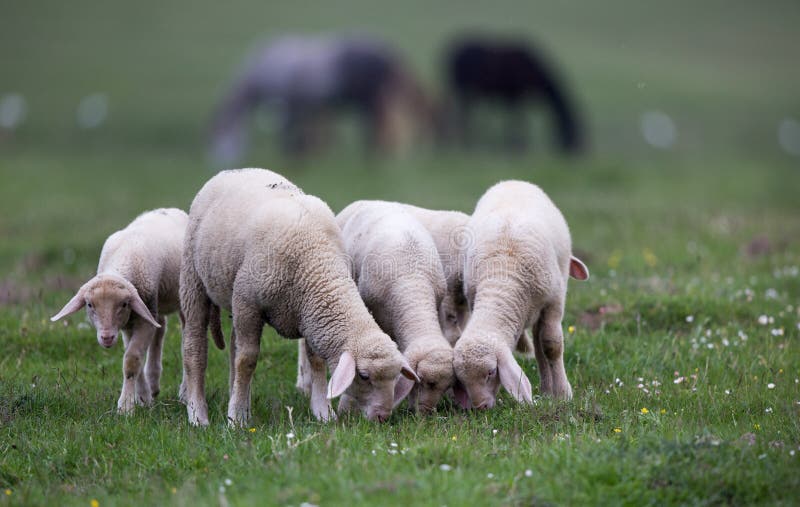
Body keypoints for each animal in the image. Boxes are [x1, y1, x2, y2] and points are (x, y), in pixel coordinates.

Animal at [50, 208, 216, 414]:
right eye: (89, 305)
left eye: (123, 304)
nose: (106, 337)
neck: (122, 260)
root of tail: (169, 210)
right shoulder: (129, 323)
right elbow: (134, 355)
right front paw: (143, 396)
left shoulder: (142, 319)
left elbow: (131, 361)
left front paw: (126, 407)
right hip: (154, 304)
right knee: (160, 330)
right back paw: (153, 383)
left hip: (182, 295)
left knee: (185, 336)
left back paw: (185, 392)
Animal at [180, 168, 419, 426]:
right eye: (364, 376)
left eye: (394, 377)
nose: (382, 417)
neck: (316, 260)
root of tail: (229, 172)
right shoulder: (249, 303)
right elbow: (247, 360)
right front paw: (238, 419)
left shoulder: (312, 313)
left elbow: (317, 361)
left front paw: (323, 411)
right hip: (194, 279)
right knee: (195, 346)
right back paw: (198, 414)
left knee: (233, 346)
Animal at [453, 180, 589, 410]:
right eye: (461, 380)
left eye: (491, 372)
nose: (480, 407)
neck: (502, 284)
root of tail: (511, 182)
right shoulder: (473, 298)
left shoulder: (554, 301)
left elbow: (552, 345)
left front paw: (563, 393)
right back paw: (546, 389)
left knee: (542, 342)